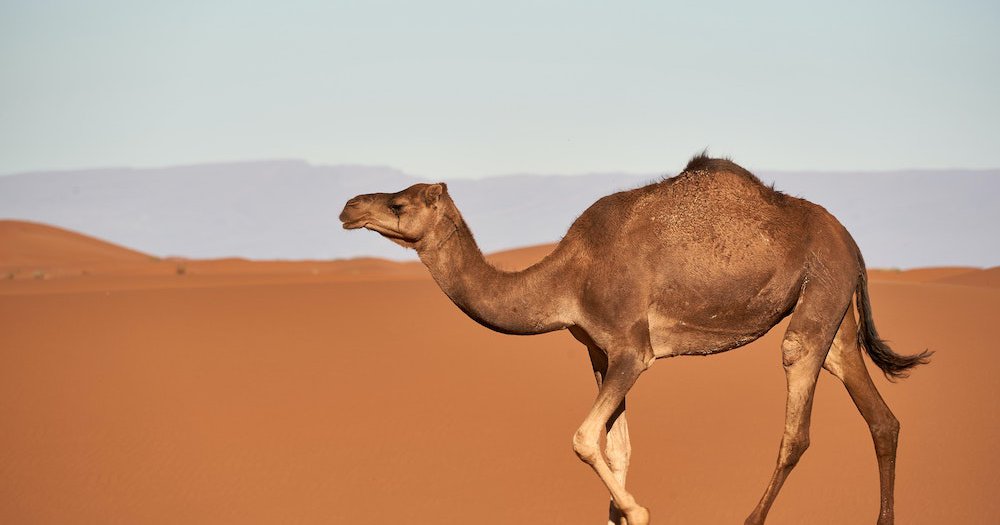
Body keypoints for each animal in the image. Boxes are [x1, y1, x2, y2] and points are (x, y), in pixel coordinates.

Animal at [339, 154, 931, 525]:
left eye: (399, 205)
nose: (349, 207)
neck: (566, 279)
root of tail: (851, 243)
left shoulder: (631, 349)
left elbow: (583, 439)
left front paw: (639, 511)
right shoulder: (599, 353)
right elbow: (617, 448)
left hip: (820, 289)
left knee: (796, 418)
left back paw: (751, 517)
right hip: (835, 308)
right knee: (879, 415)